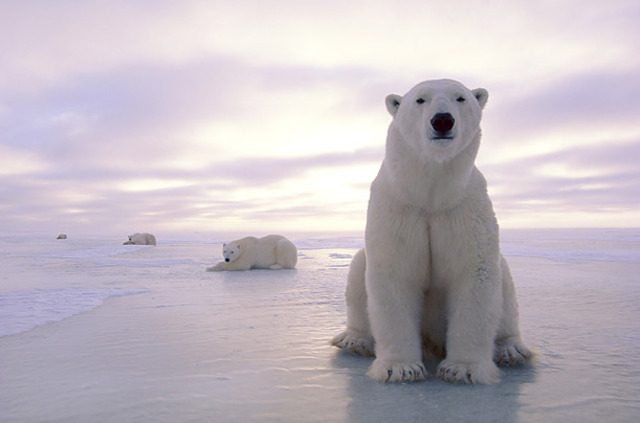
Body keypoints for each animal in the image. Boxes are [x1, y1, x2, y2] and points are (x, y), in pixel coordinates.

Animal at [331, 79, 531, 384]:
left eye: (461, 97)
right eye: (420, 99)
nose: (442, 120)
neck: (431, 196)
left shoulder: (464, 211)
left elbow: (473, 272)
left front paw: (463, 369)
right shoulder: (399, 210)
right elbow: (395, 273)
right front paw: (401, 368)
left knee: (505, 282)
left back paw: (511, 349)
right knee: (357, 270)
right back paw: (355, 340)